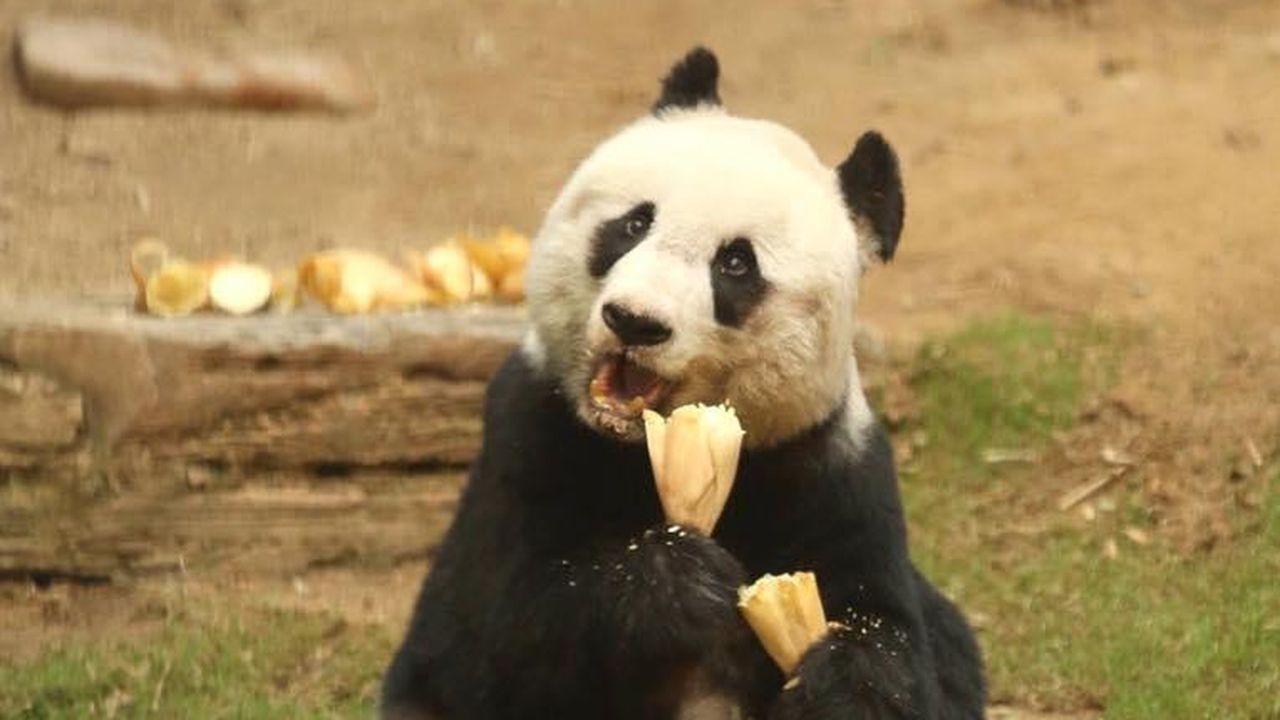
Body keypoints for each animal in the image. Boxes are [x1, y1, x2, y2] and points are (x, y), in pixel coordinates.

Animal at [382, 47, 985, 720]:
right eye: (632, 224)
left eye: (735, 263)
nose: (634, 321)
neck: (636, 445)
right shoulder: (530, 433)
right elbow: (491, 639)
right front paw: (678, 582)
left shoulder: (832, 470)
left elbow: (902, 652)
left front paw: (836, 676)